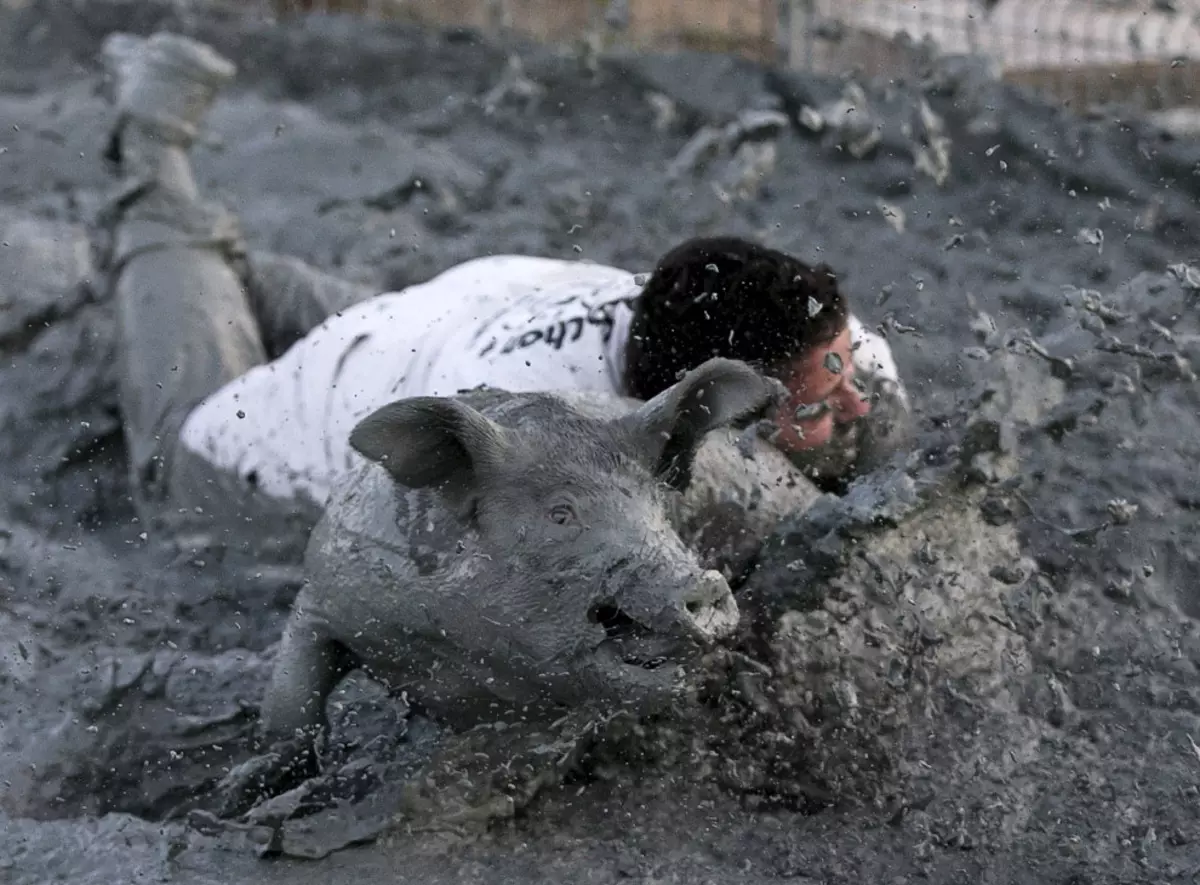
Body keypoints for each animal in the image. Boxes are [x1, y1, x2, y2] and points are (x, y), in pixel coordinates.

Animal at [256, 354, 792, 743]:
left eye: (659, 505)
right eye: (560, 513)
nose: (702, 583)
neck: (459, 646)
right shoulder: (327, 586)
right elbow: (290, 708)